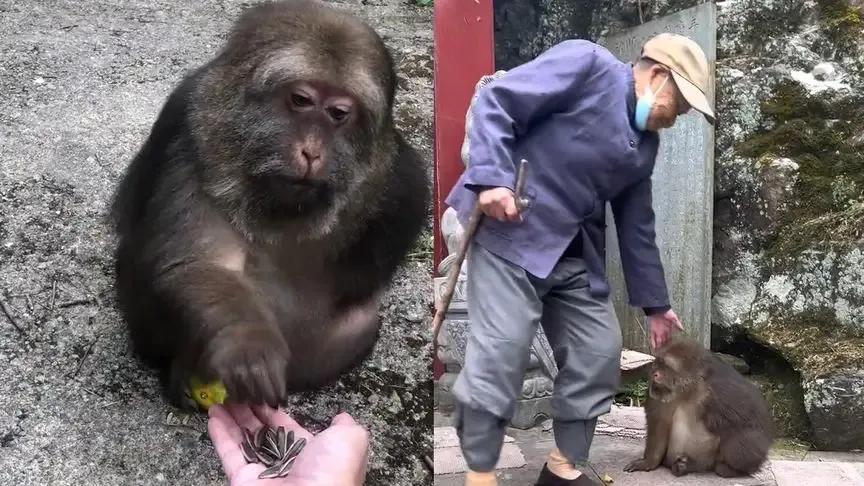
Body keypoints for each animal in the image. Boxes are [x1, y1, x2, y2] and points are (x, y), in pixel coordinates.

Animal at [108, 0, 430, 410]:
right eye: (301, 100)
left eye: (338, 113)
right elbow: (202, 261)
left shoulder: (394, 174)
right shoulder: (193, 136)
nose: (312, 152)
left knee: (360, 322)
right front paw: (247, 342)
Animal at [623, 336, 774, 478]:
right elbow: (659, 422)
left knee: (742, 436)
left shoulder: (721, 390)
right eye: (657, 363)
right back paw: (684, 466)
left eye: (666, 366)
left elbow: (750, 422)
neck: (687, 391)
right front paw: (648, 462)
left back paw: (728, 470)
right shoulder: (660, 395)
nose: (655, 374)